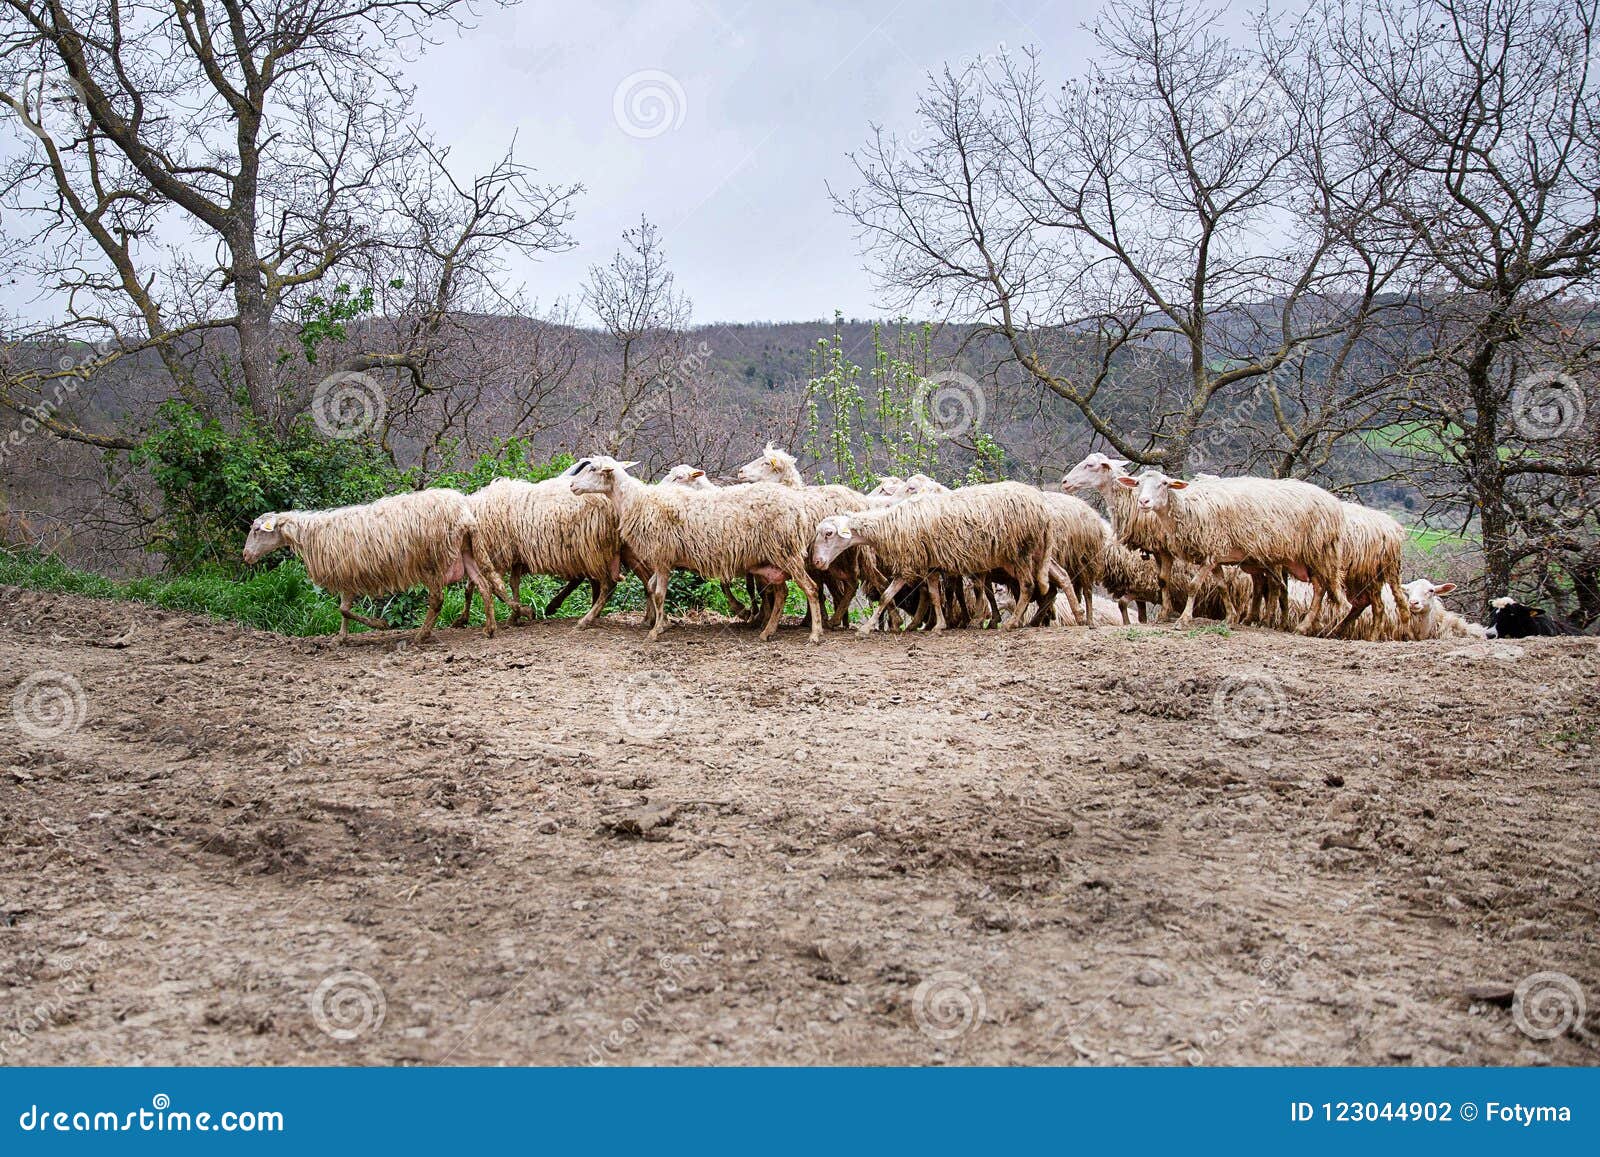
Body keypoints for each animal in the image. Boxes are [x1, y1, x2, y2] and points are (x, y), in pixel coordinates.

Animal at [241, 488, 498, 643]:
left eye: (257, 531)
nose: (246, 556)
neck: (310, 535)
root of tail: (465, 515)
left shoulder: (346, 573)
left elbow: (344, 609)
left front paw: (380, 624)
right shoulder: (347, 574)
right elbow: (343, 609)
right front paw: (341, 638)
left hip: (432, 562)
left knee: (437, 600)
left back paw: (421, 636)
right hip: (466, 552)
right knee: (484, 585)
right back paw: (490, 628)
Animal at [451, 477, 625, 630]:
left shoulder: (498, 555)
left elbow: (495, 589)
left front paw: (525, 612)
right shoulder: (515, 556)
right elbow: (506, 585)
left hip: (592, 548)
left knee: (607, 584)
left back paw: (584, 618)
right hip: (586, 551)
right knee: (593, 582)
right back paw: (580, 610)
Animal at [570, 456, 826, 642]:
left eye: (593, 469)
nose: (571, 485)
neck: (637, 501)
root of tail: (797, 506)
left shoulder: (662, 558)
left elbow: (659, 593)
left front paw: (655, 632)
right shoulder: (660, 560)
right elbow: (651, 589)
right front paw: (661, 624)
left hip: (787, 552)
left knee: (811, 589)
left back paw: (815, 634)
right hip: (771, 560)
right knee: (782, 593)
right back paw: (767, 632)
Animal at [811, 482, 1055, 633]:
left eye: (829, 533)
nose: (817, 562)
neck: (888, 526)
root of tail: (1042, 506)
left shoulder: (910, 563)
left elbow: (887, 596)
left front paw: (865, 629)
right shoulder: (927, 565)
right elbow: (930, 596)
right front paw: (938, 625)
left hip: (1020, 552)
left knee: (1027, 585)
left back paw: (1011, 623)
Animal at [1118, 471, 1346, 633]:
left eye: (1164, 483)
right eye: (1137, 483)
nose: (1143, 502)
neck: (1188, 508)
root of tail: (1333, 502)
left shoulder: (1210, 552)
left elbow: (1193, 586)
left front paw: (1183, 620)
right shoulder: (1215, 556)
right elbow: (1222, 586)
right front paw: (1230, 618)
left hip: (1319, 552)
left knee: (1320, 589)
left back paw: (1304, 626)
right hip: (1304, 558)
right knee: (1316, 588)